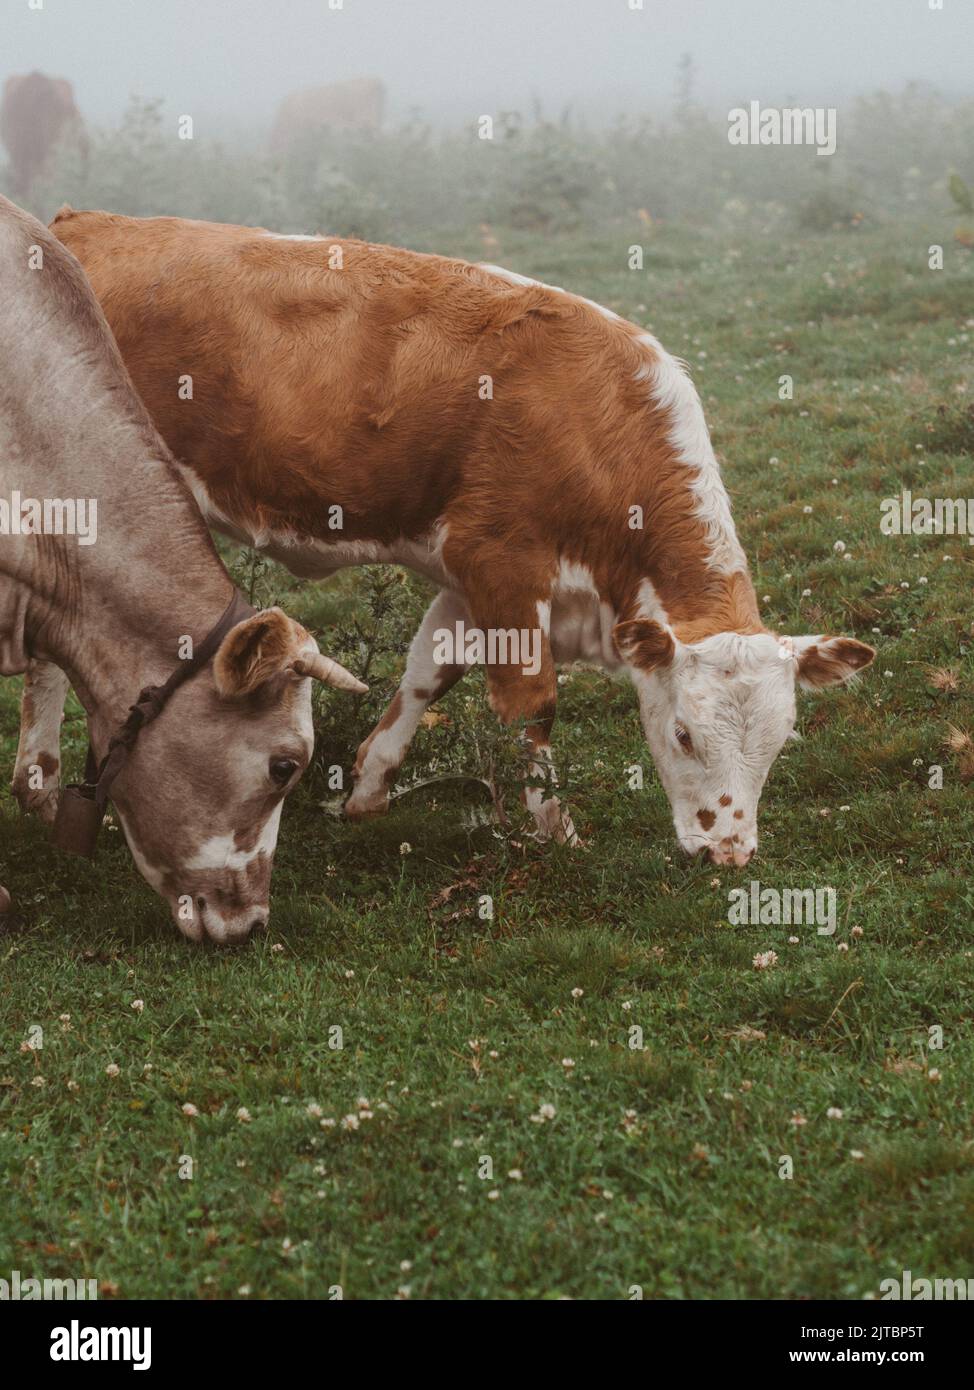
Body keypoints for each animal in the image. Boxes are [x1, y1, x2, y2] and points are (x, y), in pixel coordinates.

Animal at [24, 206, 875, 865]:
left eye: (780, 743)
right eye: (687, 734)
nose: (729, 853)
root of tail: (81, 222)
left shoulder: (471, 580)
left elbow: (427, 674)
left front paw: (368, 787)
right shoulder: (502, 562)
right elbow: (531, 705)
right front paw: (552, 828)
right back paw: (40, 776)